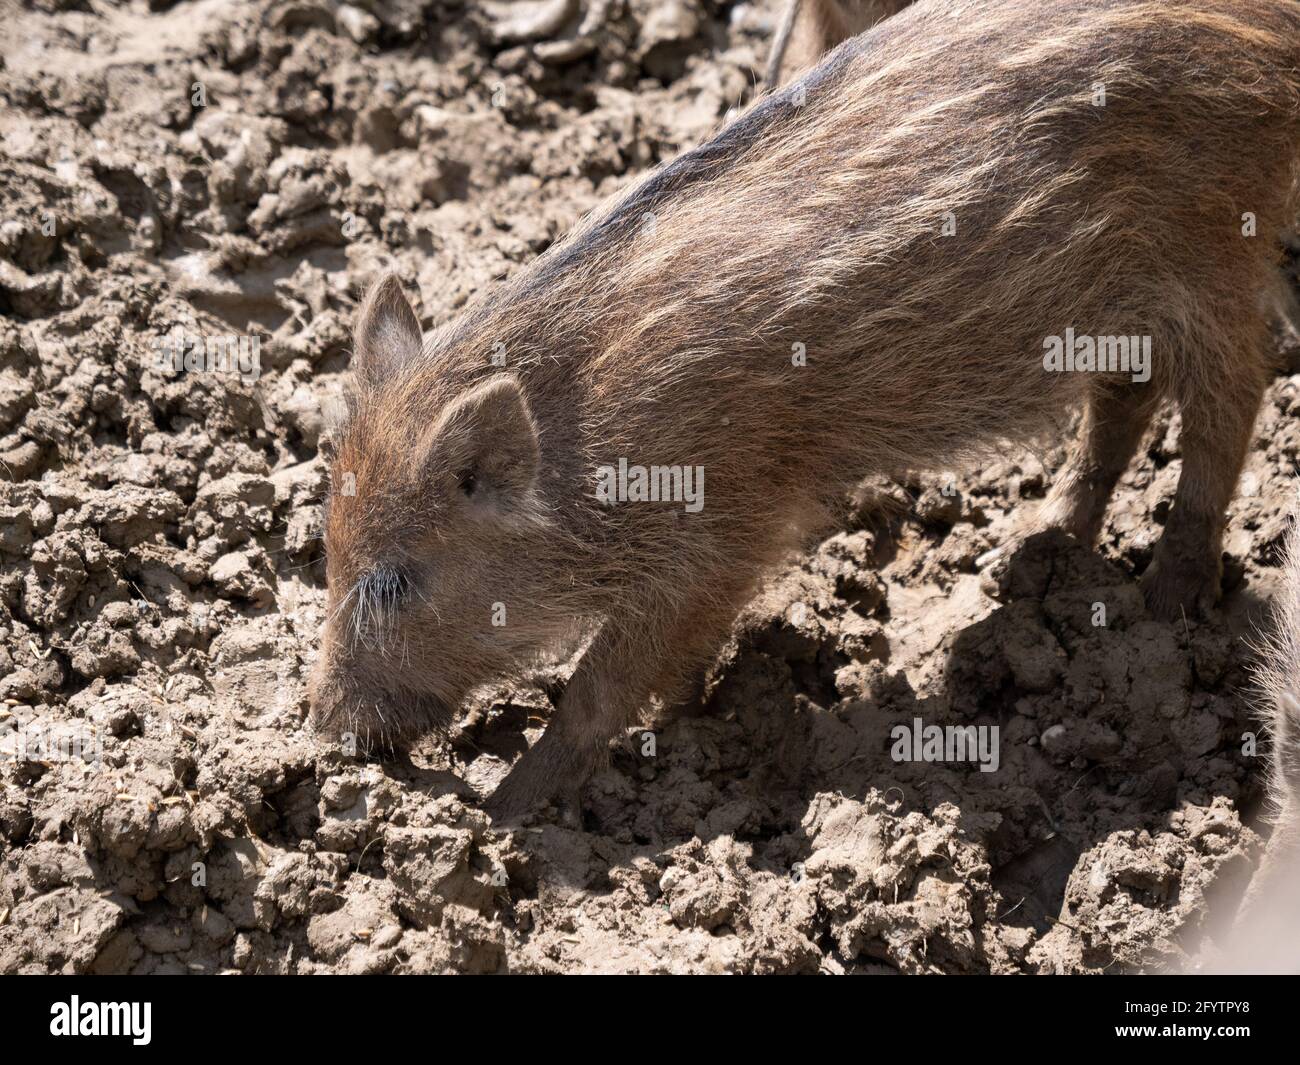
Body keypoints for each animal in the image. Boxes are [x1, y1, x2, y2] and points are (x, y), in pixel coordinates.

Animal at [310, 0, 1300, 824]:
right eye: (328, 557)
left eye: (393, 579)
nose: (323, 731)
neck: (593, 442)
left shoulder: (720, 536)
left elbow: (602, 683)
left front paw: (505, 812)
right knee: (1124, 400)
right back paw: (1035, 548)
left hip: (1219, 248)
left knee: (1231, 394)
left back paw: (1167, 598)